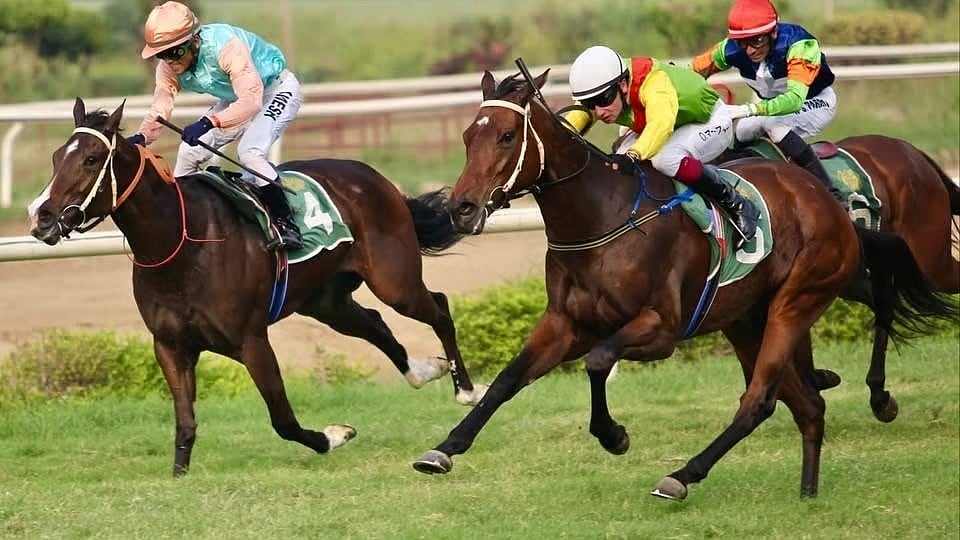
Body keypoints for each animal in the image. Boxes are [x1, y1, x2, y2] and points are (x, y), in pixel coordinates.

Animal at [27, 97, 486, 476]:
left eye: (91, 159)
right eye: (55, 157)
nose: (42, 216)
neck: (182, 243)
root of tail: (375, 178)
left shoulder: (251, 341)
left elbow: (282, 419)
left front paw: (334, 435)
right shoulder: (170, 345)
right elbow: (185, 421)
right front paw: (179, 476)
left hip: (394, 281)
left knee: (438, 307)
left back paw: (466, 389)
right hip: (326, 301)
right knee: (374, 323)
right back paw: (424, 371)